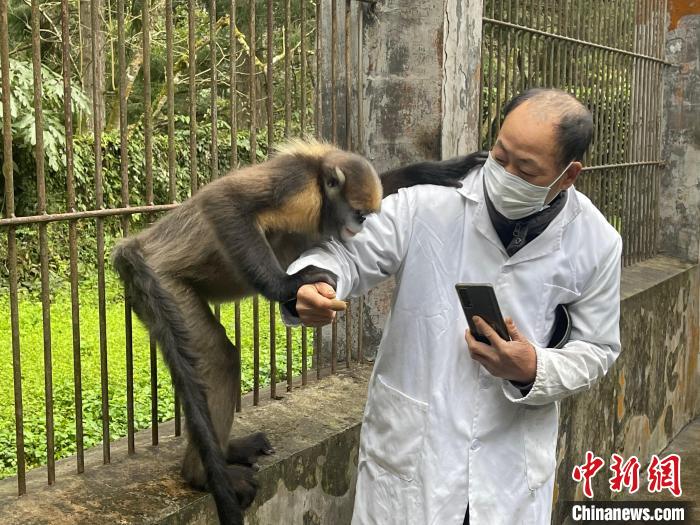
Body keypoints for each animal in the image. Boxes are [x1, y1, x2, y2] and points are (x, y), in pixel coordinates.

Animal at [111, 139, 472, 524]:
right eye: (359, 215)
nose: (358, 229)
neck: (320, 191)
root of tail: (135, 248)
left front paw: (431, 171)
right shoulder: (296, 182)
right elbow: (224, 200)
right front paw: (288, 286)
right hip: (165, 283)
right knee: (219, 358)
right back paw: (200, 475)